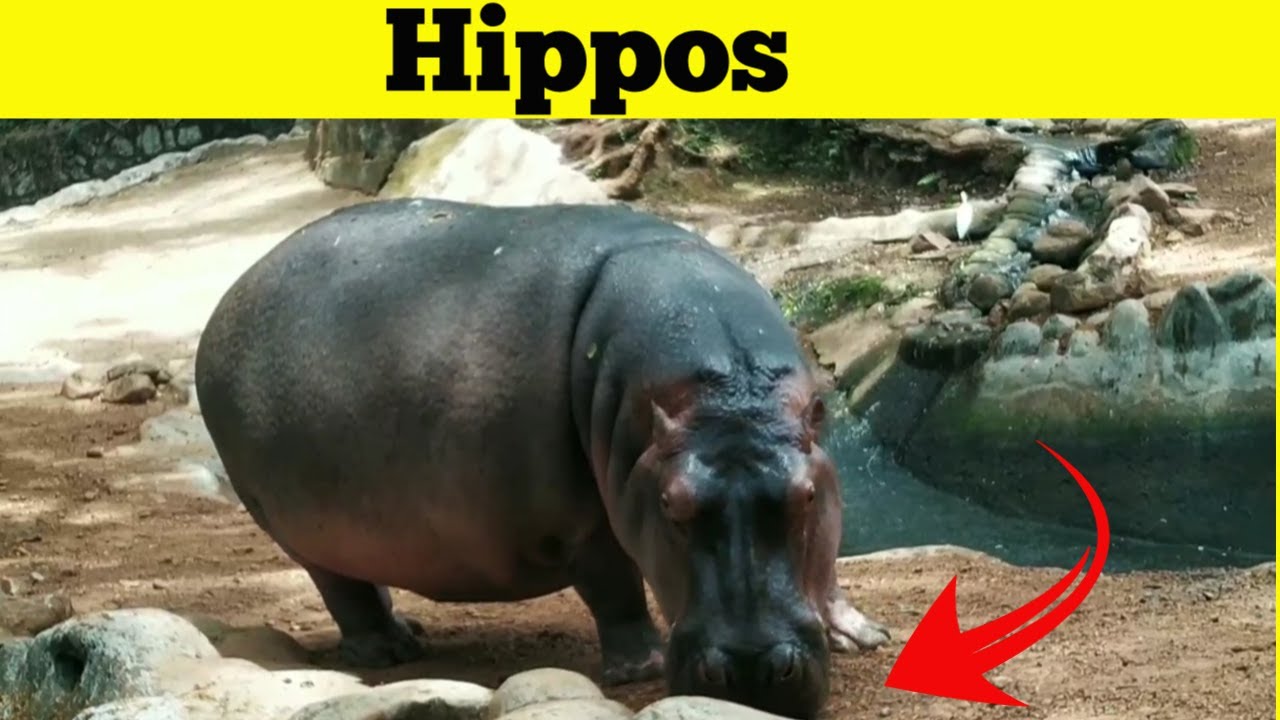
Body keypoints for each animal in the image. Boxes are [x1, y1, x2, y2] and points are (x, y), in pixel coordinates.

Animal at [194, 198, 890, 719]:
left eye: (806, 495)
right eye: (671, 505)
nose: (751, 669)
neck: (723, 394)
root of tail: (228, 300)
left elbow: (828, 570)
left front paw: (865, 636)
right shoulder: (580, 521)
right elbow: (613, 584)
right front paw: (643, 666)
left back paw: (409, 633)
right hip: (296, 530)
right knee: (343, 590)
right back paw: (389, 652)